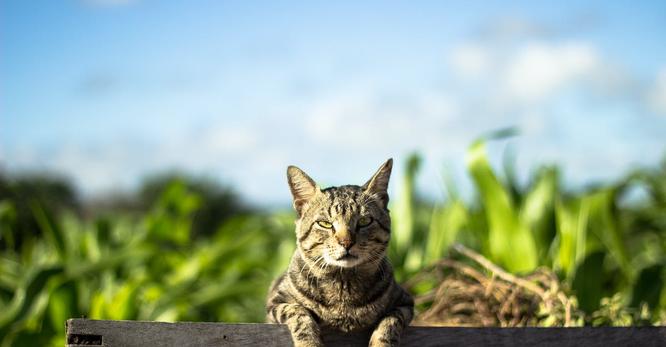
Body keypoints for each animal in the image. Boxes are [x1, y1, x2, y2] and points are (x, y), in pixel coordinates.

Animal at [264, 159, 410, 346]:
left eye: (364, 221)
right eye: (325, 223)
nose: (346, 242)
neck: (343, 282)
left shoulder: (404, 303)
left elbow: (390, 321)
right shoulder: (276, 303)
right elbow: (298, 312)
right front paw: (309, 342)